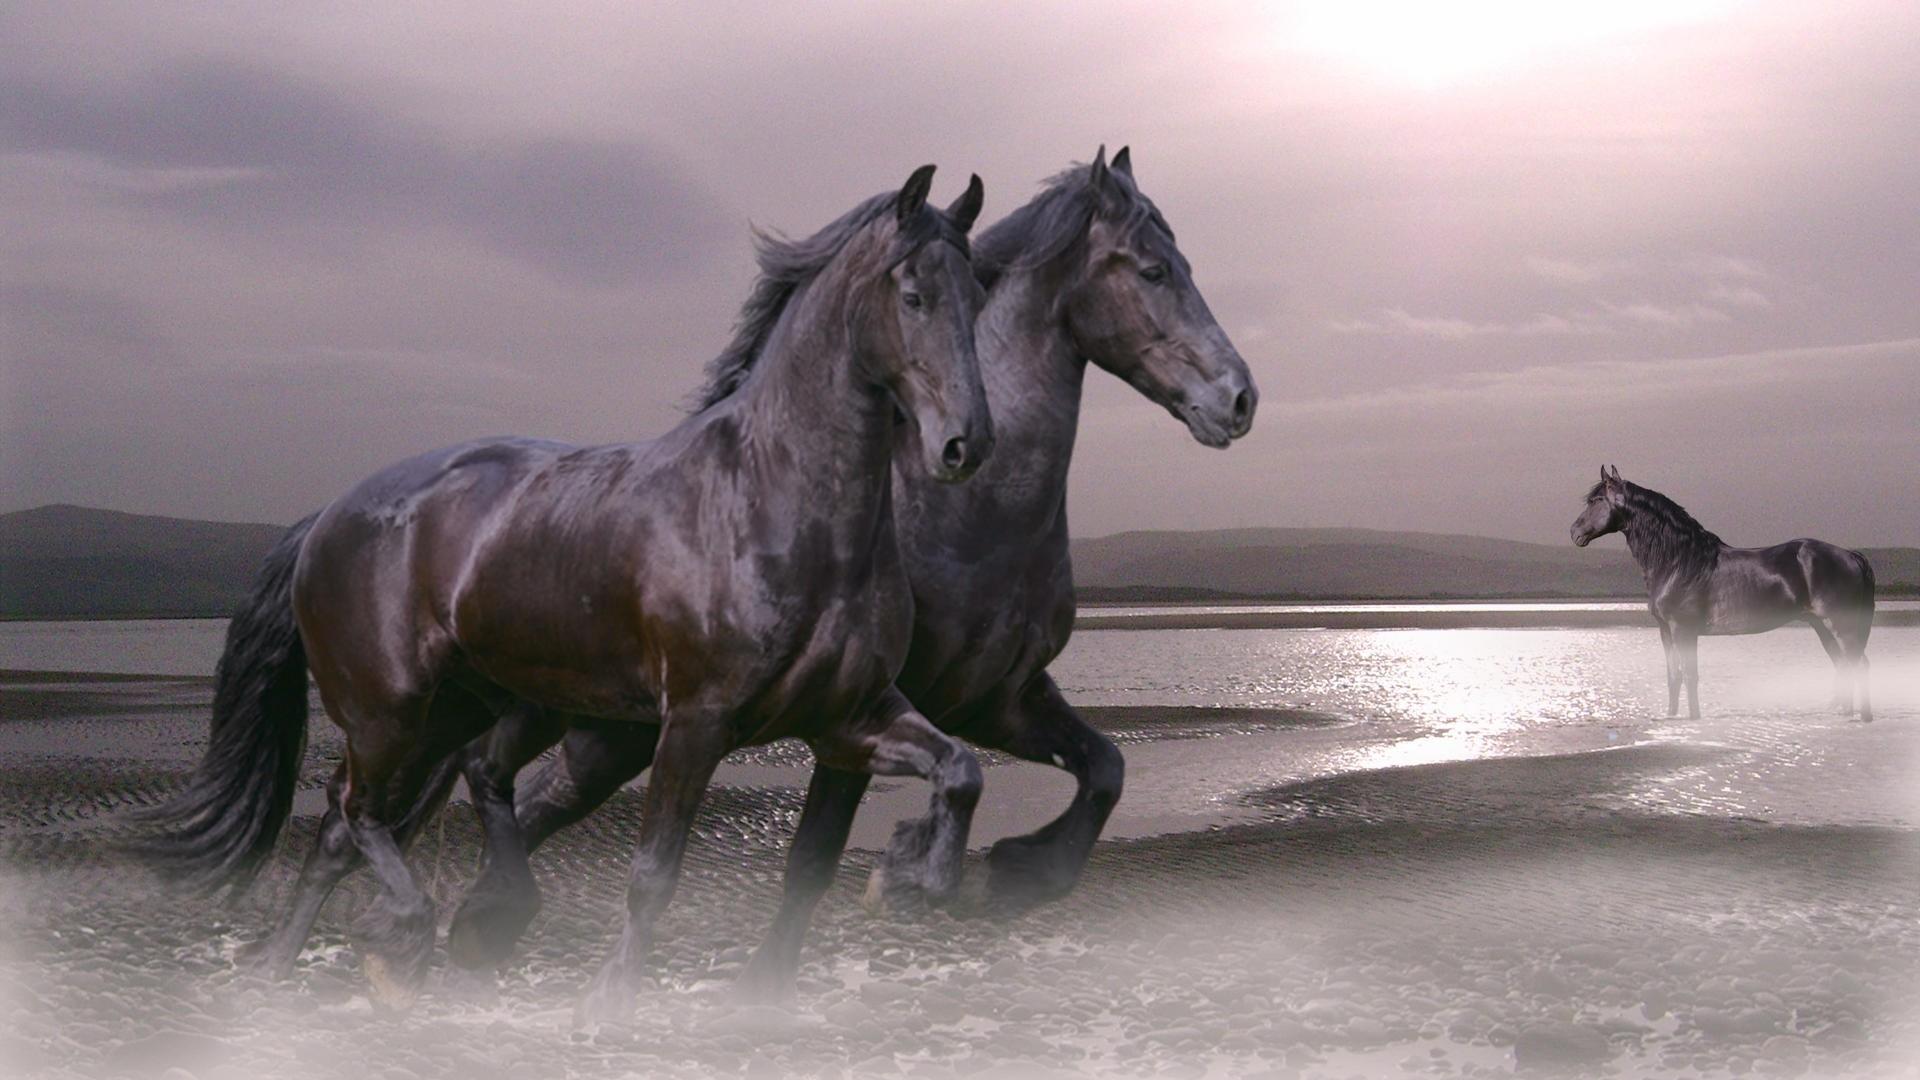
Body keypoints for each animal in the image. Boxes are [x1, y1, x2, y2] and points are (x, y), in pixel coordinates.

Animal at [133, 165, 995, 1021]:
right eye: (914, 294)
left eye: (978, 294)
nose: (967, 445)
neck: (772, 503)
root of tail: (324, 519)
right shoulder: (698, 720)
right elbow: (654, 873)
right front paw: (610, 1000)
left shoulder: (846, 718)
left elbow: (958, 772)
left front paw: (914, 879)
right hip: (388, 712)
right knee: (357, 810)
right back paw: (403, 939)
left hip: (475, 706)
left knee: (418, 799)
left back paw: (329, 957)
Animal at [442, 146, 1260, 1001]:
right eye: (1153, 269)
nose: (1239, 399)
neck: (973, 517)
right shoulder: (864, 719)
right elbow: (814, 858)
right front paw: (895, 880)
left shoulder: (998, 701)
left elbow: (1105, 768)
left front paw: (1010, 874)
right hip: (599, 725)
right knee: (514, 789)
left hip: (614, 734)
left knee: (534, 800)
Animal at [1571, 465, 1875, 721]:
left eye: (1596, 501)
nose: (1574, 532)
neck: (1678, 561)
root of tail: (1850, 555)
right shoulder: (1665, 630)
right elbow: (1673, 675)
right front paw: (1671, 717)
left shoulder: (1683, 630)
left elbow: (1690, 674)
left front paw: (1694, 718)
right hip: (1822, 627)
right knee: (1844, 665)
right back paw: (1845, 713)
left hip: (1841, 627)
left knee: (1859, 665)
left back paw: (1864, 717)